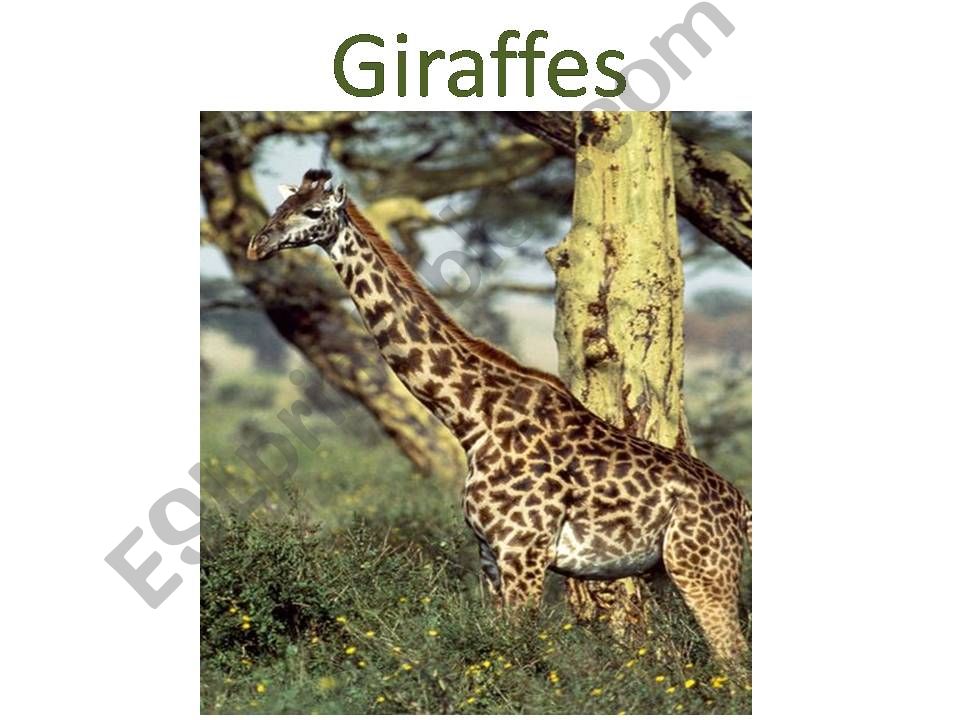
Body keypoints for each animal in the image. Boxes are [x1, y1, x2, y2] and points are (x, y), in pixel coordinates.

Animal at [246, 169, 752, 660]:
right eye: (281, 206)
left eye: (313, 211)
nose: (257, 244)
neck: (472, 418)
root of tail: (743, 507)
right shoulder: (489, 555)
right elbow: (497, 648)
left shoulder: (523, 552)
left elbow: (524, 654)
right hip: (676, 570)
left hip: (702, 568)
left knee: (733, 657)